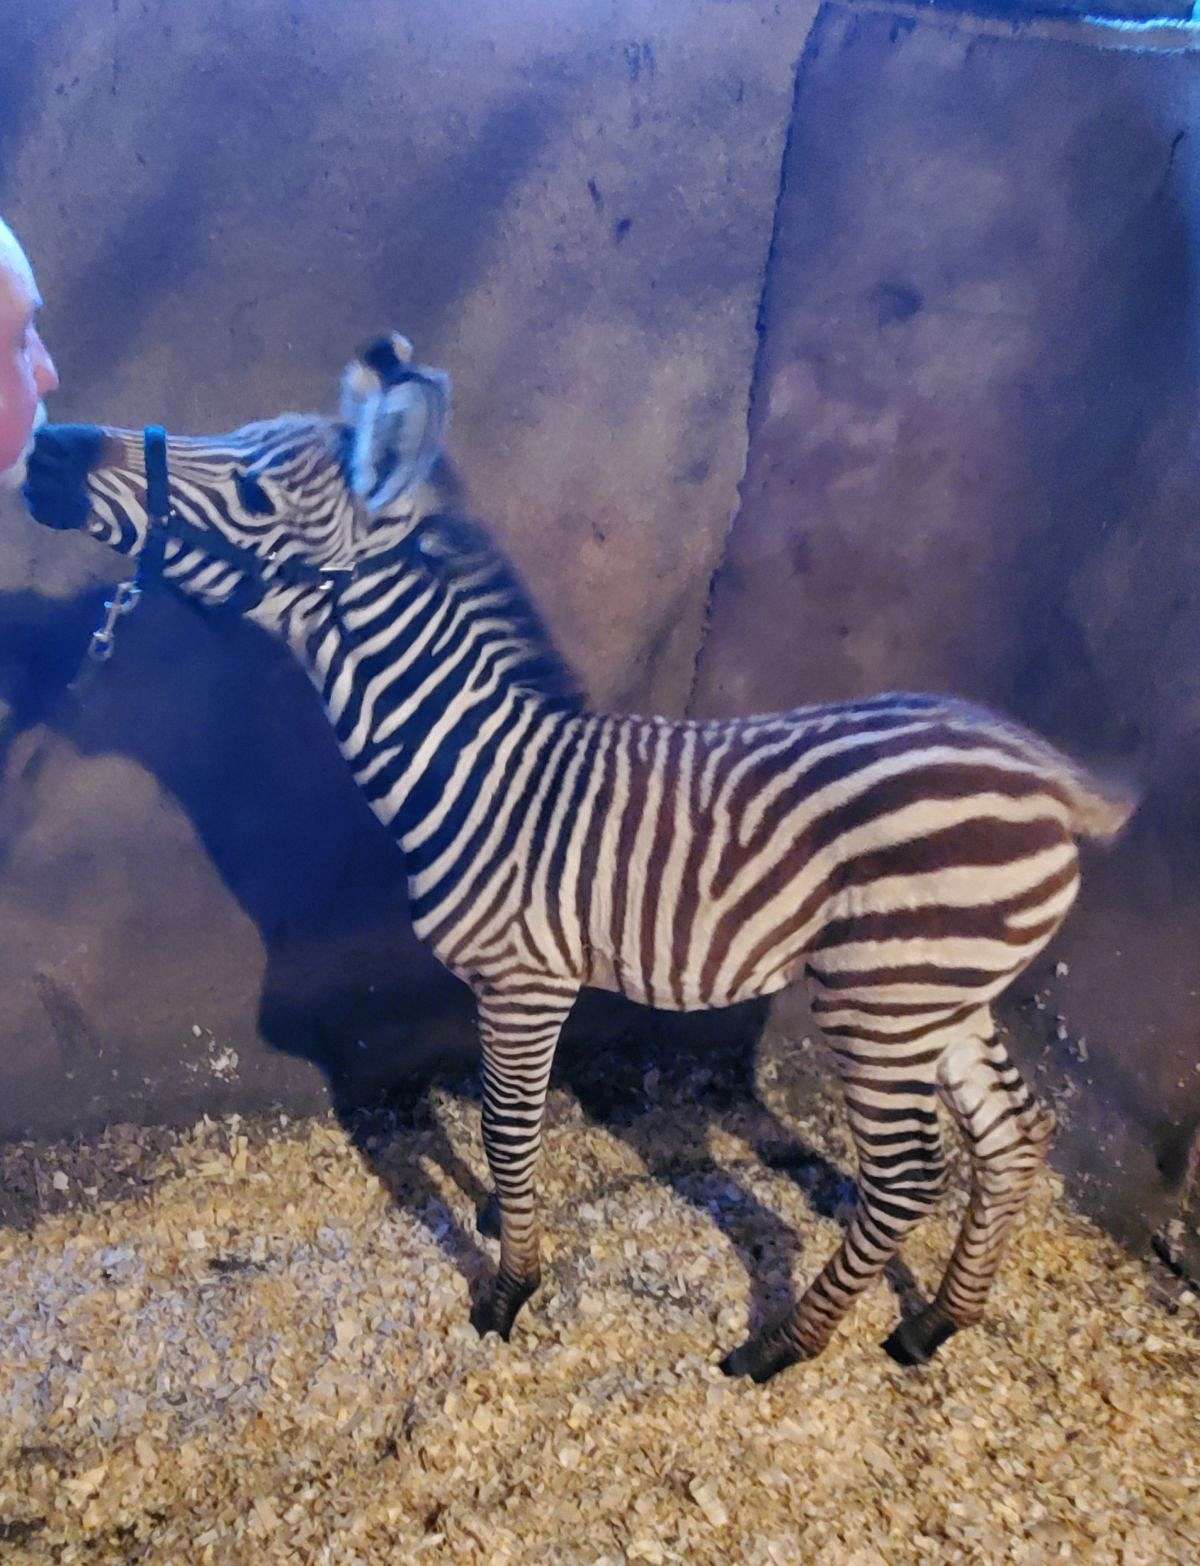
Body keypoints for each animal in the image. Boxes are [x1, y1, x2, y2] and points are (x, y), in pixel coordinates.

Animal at [22, 333, 1136, 1381]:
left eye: (252, 492)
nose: (45, 448)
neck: (473, 762)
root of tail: (1047, 773)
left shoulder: (524, 980)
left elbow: (510, 1135)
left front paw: (511, 1286)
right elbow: (504, 1136)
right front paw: (496, 1226)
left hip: (885, 997)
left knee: (907, 1176)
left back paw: (786, 1343)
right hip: (941, 994)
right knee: (1015, 1133)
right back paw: (936, 1323)